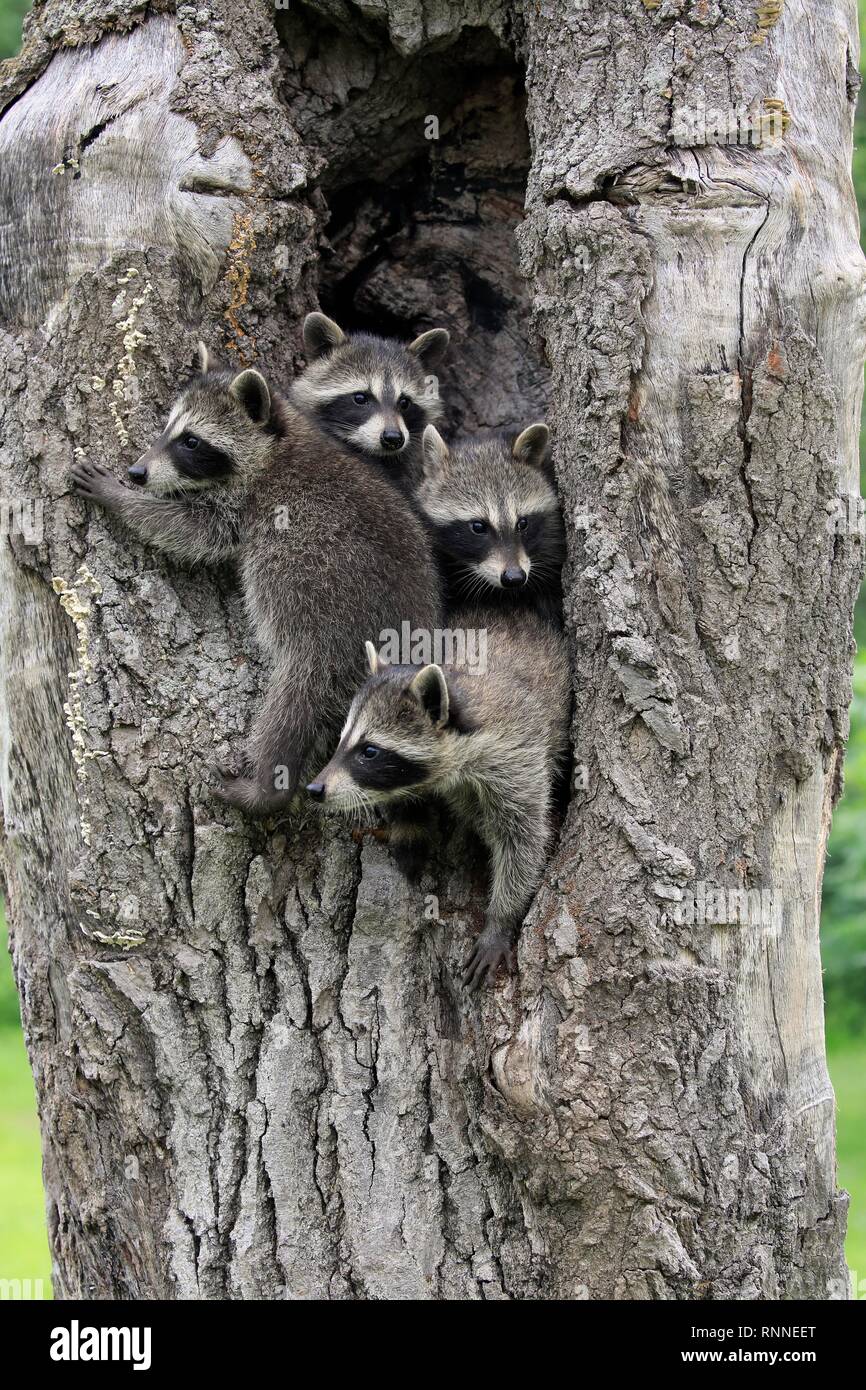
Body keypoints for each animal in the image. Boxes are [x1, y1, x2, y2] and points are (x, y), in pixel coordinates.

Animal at [69, 343, 441, 813]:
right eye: (168, 429)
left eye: (191, 441)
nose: (137, 473)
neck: (278, 446)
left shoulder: (250, 508)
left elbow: (192, 532)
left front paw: (121, 498)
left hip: (335, 641)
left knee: (294, 703)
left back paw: (267, 789)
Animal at [307, 607, 571, 989]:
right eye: (342, 741)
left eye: (369, 752)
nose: (315, 789)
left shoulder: (517, 753)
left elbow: (522, 840)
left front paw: (501, 917)